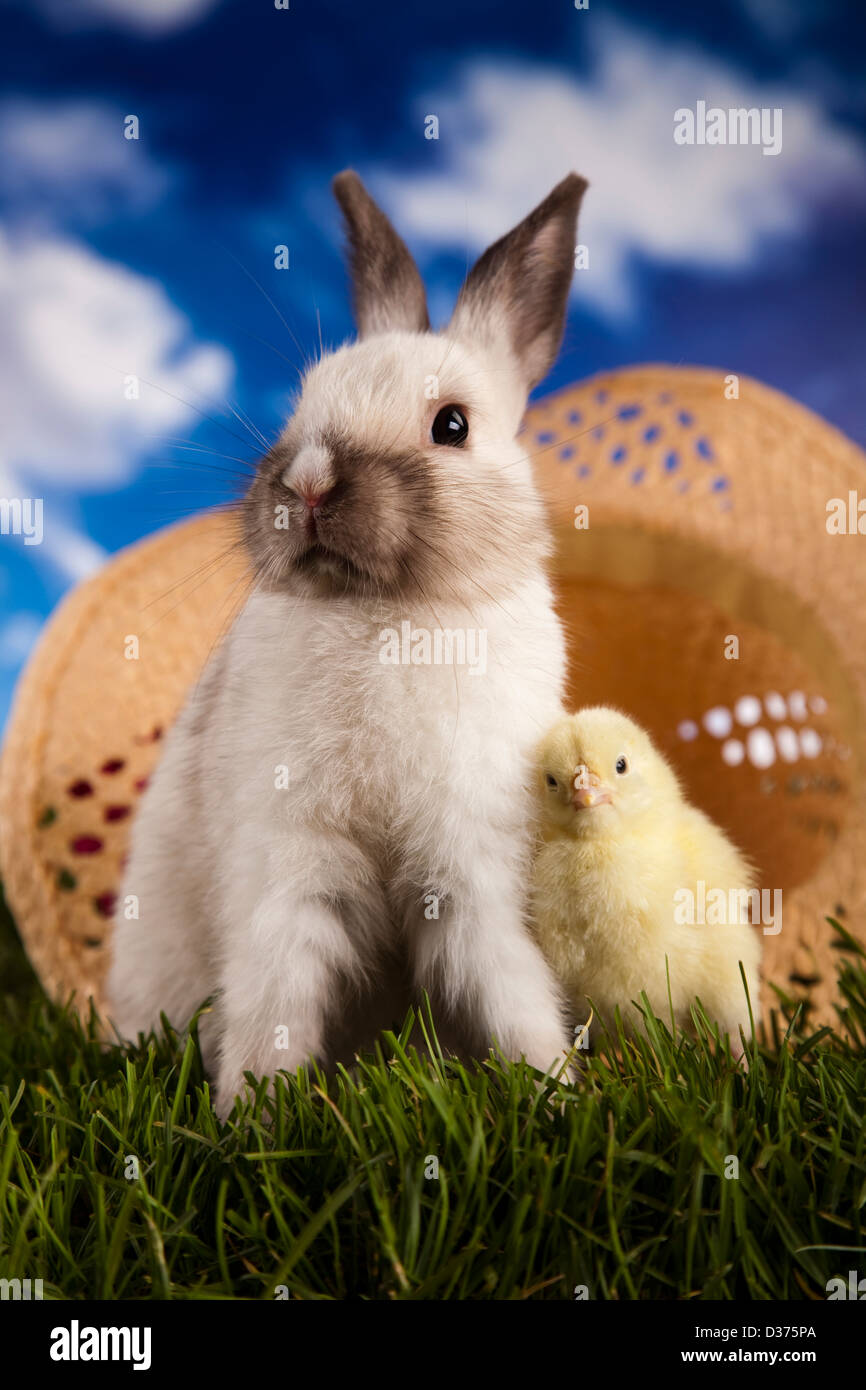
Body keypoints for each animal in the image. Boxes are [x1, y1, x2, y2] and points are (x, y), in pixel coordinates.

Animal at [108, 168, 588, 1118]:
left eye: (452, 426)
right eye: (299, 405)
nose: (308, 483)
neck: (388, 616)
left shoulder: (472, 873)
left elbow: (506, 986)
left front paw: (556, 1094)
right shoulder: (287, 870)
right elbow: (275, 1000)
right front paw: (251, 1118)